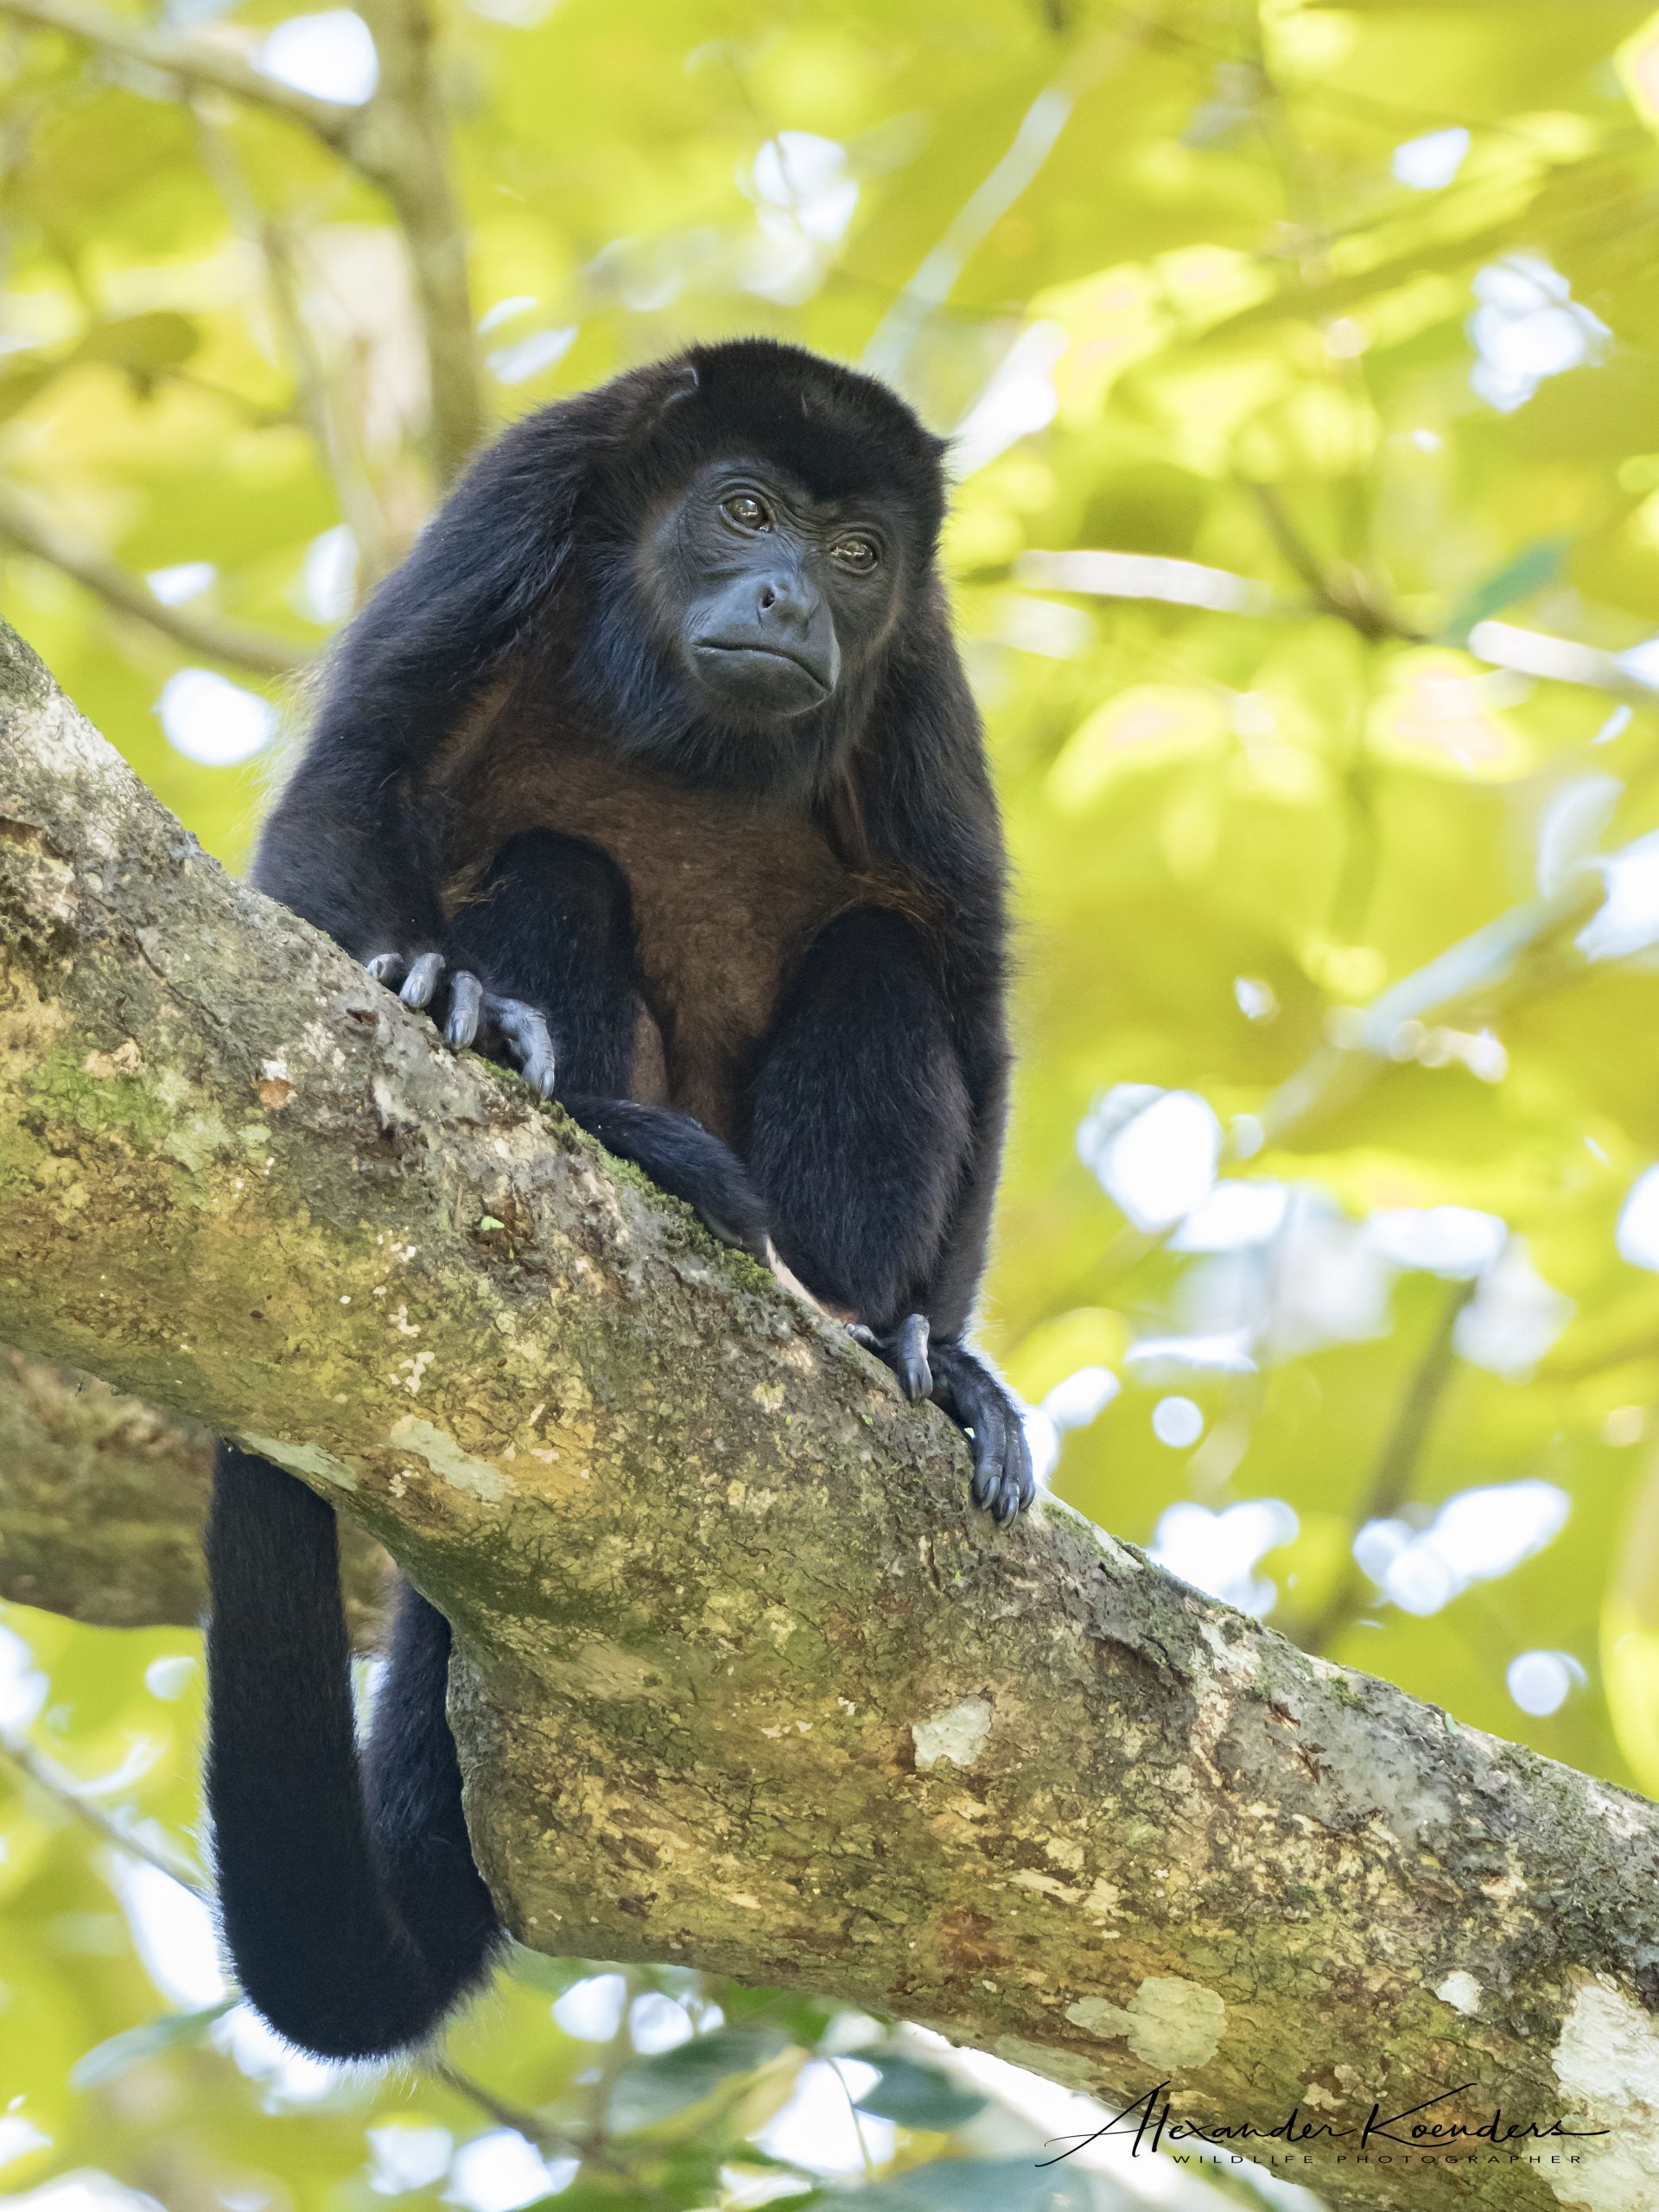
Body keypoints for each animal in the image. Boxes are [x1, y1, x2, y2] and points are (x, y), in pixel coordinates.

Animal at [204, 337, 1032, 2063]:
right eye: (747, 511)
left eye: (860, 553)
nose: (791, 595)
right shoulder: (521, 498)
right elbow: (349, 789)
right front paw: (432, 983)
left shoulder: (917, 669)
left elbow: (963, 972)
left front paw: (948, 1365)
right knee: (557, 867)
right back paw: (608, 1127)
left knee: (881, 956)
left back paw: (843, 1318)